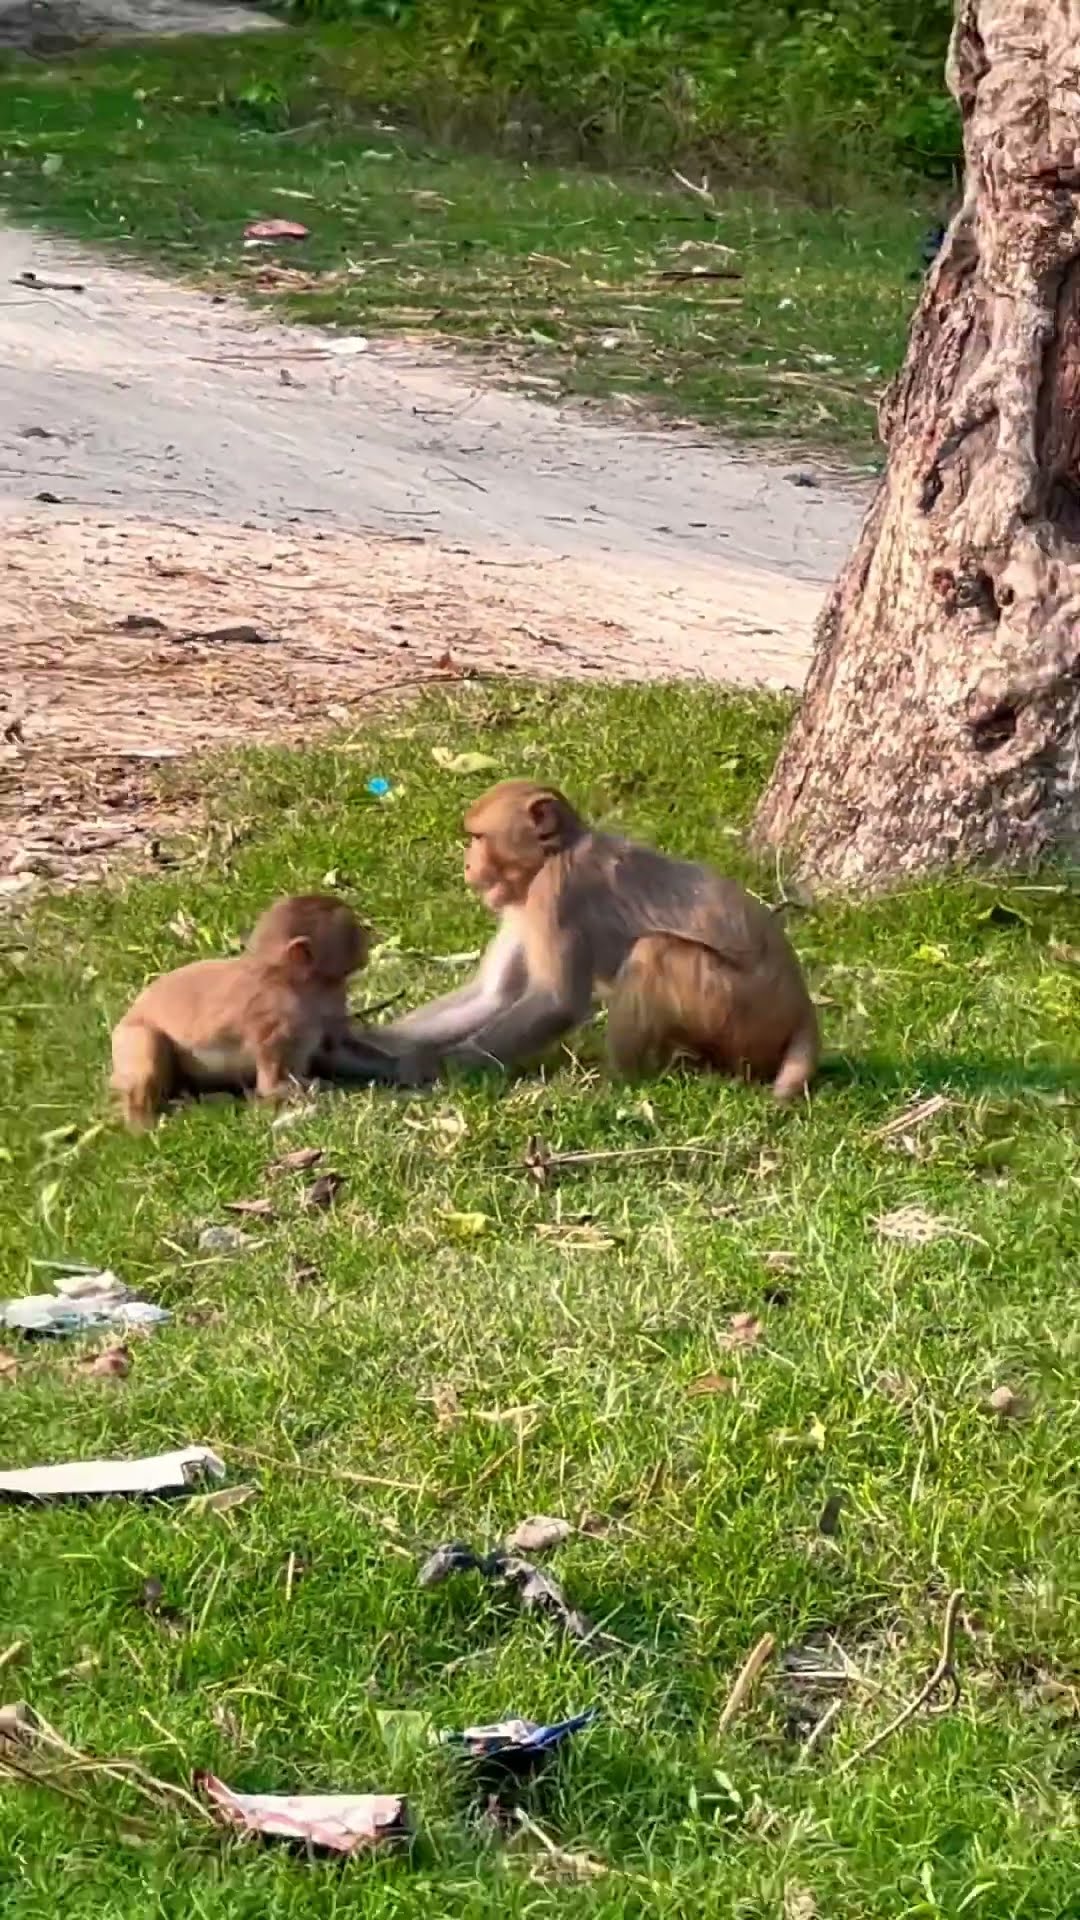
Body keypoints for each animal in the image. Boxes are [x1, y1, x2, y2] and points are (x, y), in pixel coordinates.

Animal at [111, 893, 425, 1131]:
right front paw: (311, 1090)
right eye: (350, 931)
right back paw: (141, 1124)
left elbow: (336, 1047)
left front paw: (405, 1068)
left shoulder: (332, 998)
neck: (299, 985)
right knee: (148, 1045)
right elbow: (271, 1082)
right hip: (128, 1038)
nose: (367, 937)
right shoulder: (277, 1015)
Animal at [377, 780, 818, 1099]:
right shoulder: (521, 905)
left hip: (744, 1011)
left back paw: (620, 1082)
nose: (467, 864)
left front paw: (442, 1066)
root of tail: (803, 1009)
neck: (553, 855)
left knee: (655, 950)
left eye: (479, 838)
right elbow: (494, 995)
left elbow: (556, 1002)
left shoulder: (555, 894)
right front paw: (391, 1044)